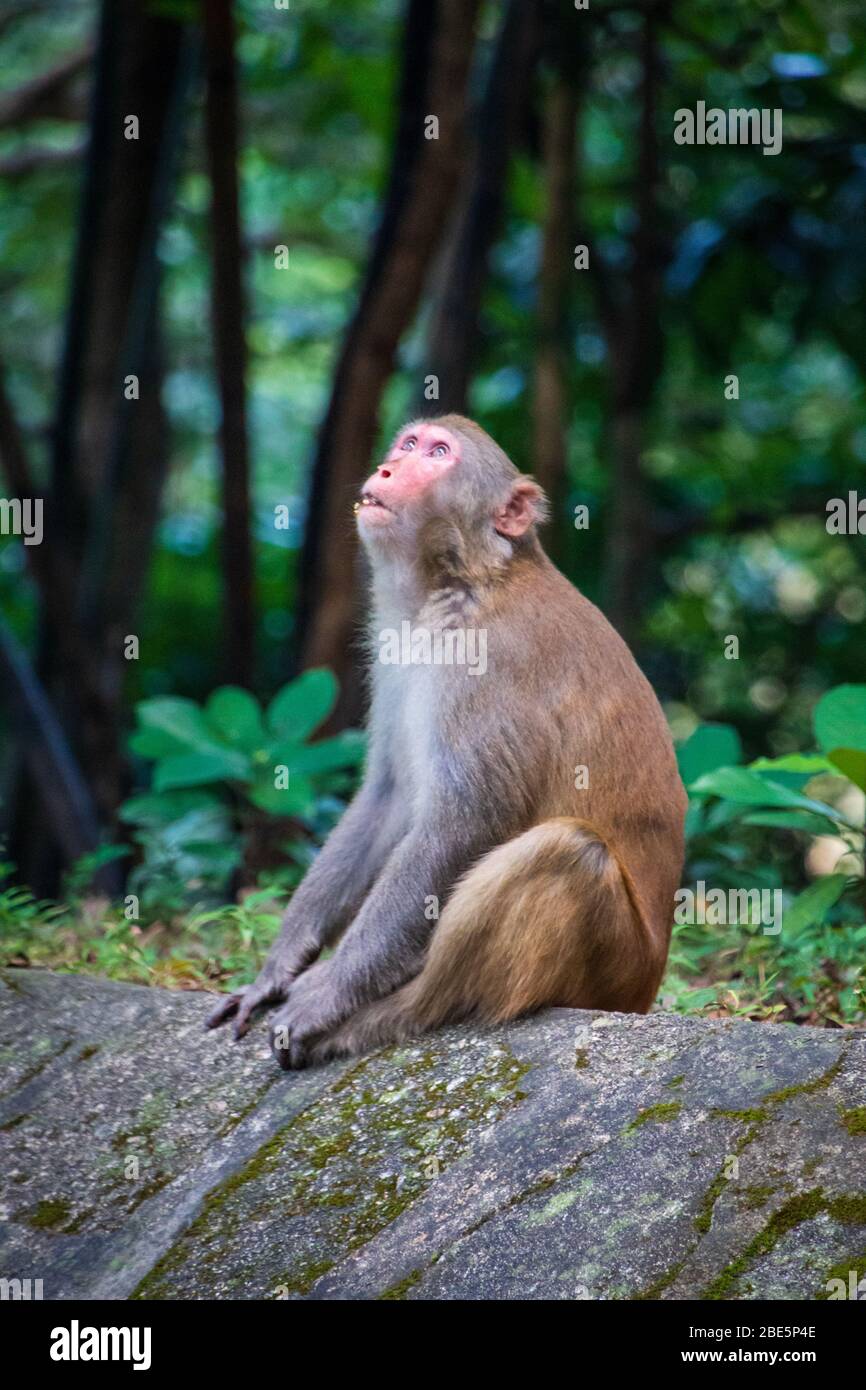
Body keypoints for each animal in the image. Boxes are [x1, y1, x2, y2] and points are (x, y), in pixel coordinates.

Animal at [207, 415, 687, 1069]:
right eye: (408, 445)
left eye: (438, 454)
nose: (387, 469)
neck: (457, 583)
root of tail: (644, 990)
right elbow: (387, 796)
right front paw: (277, 970)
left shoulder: (488, 665)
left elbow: (466, 819)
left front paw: (326, 996)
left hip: (613, 971)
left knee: (569, 851)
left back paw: (391, 1014)